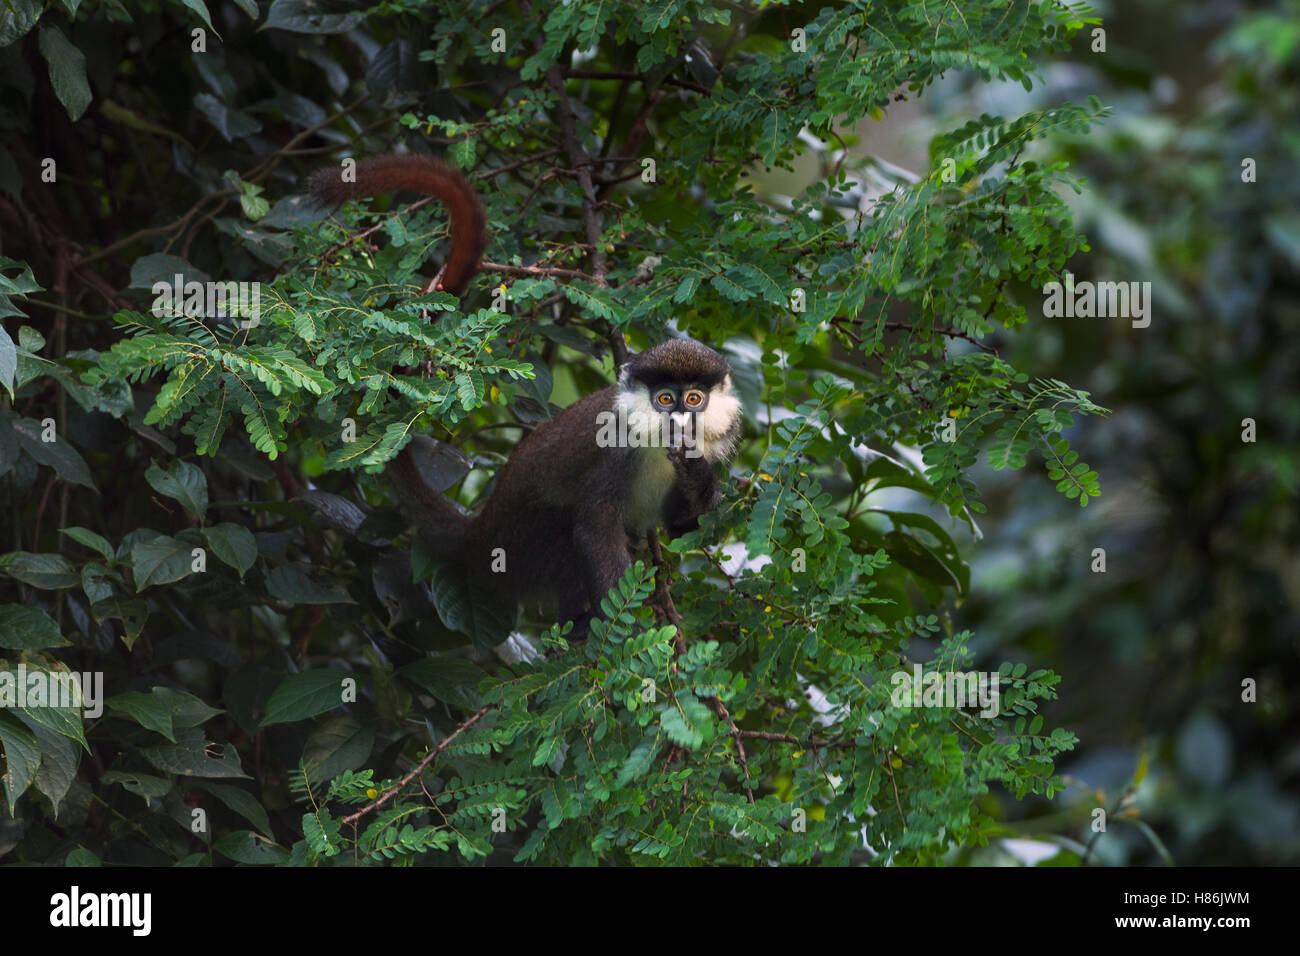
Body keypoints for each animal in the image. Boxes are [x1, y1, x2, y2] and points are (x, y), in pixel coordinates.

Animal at [309, 154, 742, 630]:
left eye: (694, 399)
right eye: (665, 399)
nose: (680, 419)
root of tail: (481, 532)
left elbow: (685, 528)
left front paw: (699, 479)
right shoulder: (617, 449)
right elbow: (593, 526)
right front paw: (621, 627)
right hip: (521, 548)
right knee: (561, 530)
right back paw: (579, 625)